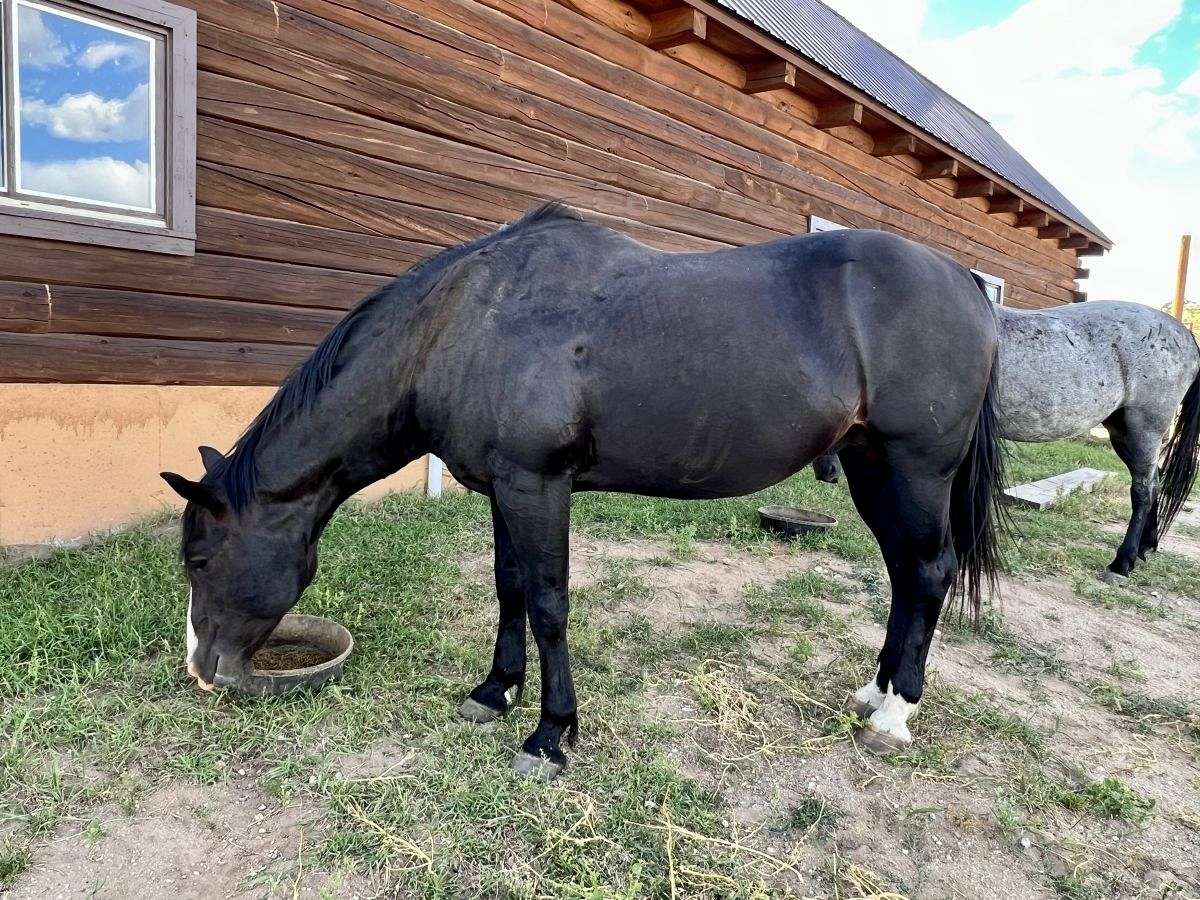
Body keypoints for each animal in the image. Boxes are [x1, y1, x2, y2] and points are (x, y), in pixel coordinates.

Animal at [162, 204, 1007, 779]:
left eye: (199, 560)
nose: (202, 669)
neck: (466, 323)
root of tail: (968, 285)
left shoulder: (538, 485)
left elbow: (547, 603)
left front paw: (550, 735)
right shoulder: (501, 487)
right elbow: (508, 589)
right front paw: (494, 692)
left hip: (915, 469)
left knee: (929, 574)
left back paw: (895, 714)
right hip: (871, 466)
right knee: (904, 577)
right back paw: (874, 692)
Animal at [813, 301, 1200, 582]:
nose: (826, 472)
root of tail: (1185, 336)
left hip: (1144, 428)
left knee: (1143, 491)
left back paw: (1122, 563)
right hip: (1123, 431)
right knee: (1153, 484)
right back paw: (1146, 547)